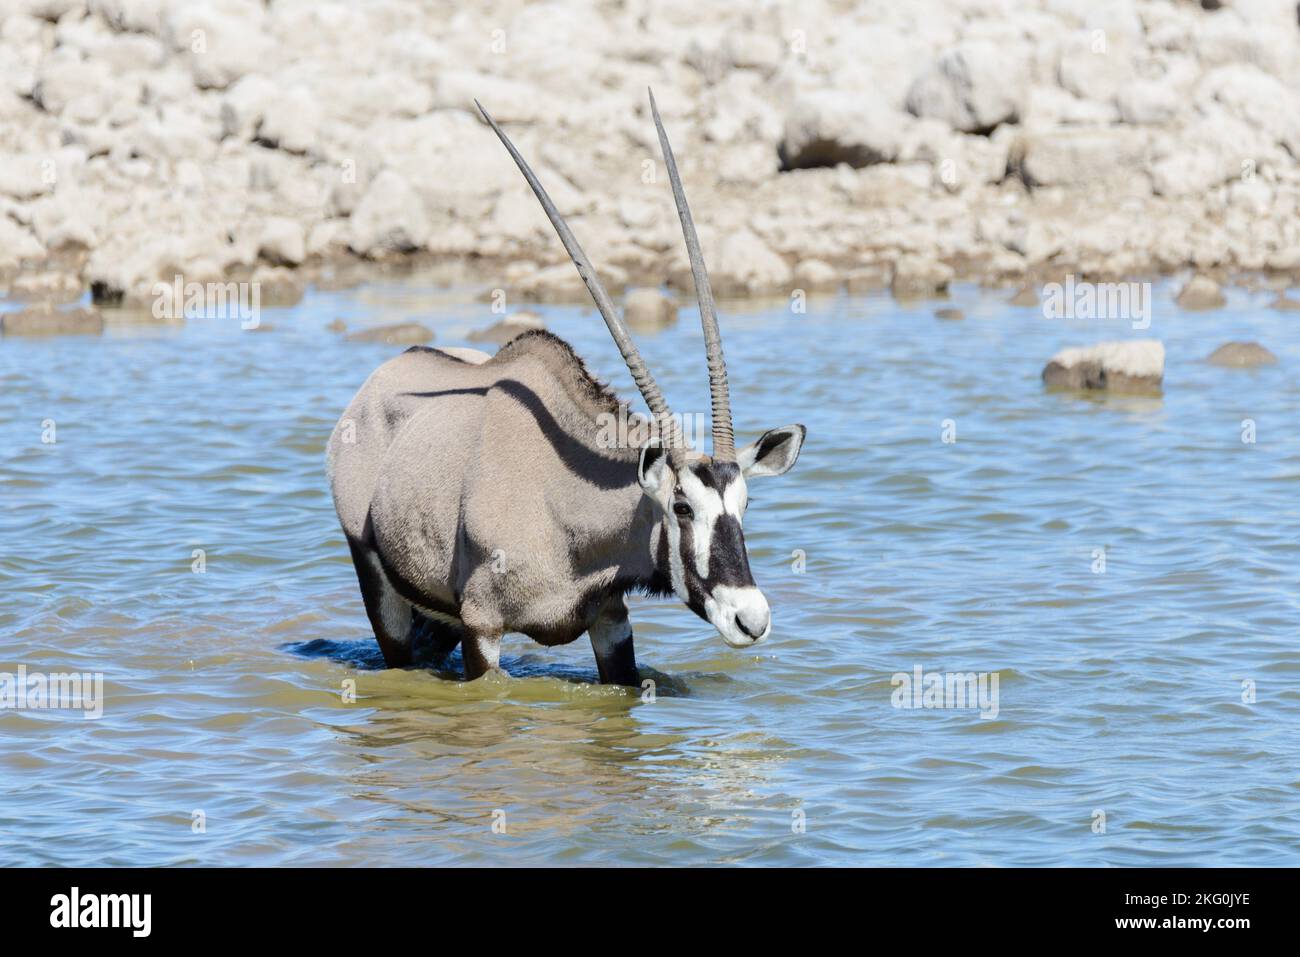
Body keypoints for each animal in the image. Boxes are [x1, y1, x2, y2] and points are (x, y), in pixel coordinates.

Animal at [327, 90, 806, 685]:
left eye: (744, 503)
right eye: (682, 507)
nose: (751, 619)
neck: (565, 508)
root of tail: (381, 379)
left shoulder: (610, 620)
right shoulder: (482, 628)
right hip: (380, 585)